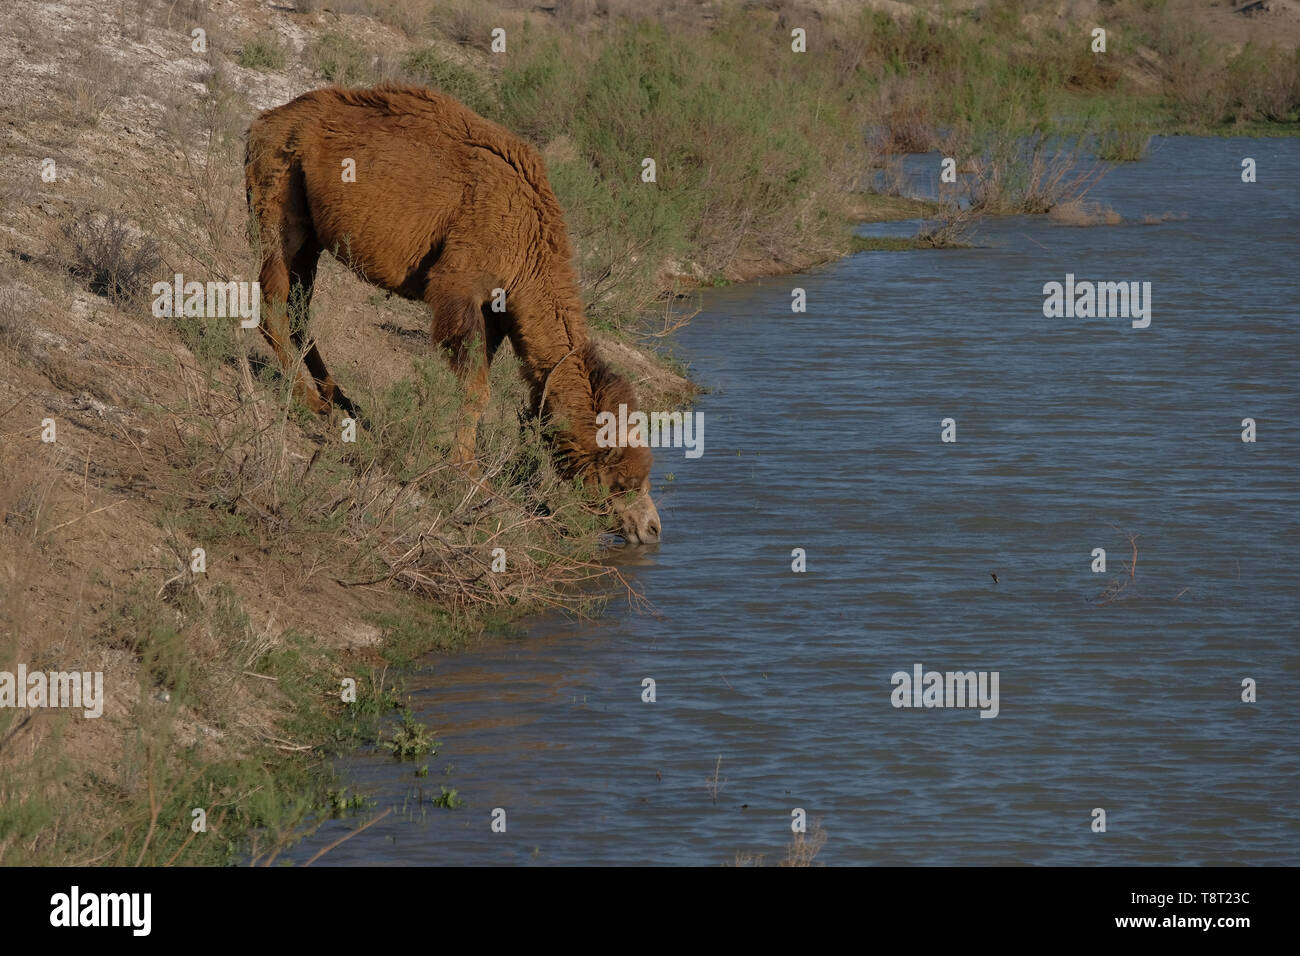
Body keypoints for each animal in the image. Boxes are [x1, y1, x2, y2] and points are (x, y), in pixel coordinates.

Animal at [244, 84, 660, 544]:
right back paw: (309, 401)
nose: (651, 528)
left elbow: (472, 383)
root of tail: (263, 122)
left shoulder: (495, 310)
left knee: (300, 309)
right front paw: (468, 472)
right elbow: (476, 389)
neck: (529, 243)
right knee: (275, 300)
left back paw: (339, 397)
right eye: (621, 482)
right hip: (280, 200)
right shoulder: (458, 285)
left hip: (311, 230)